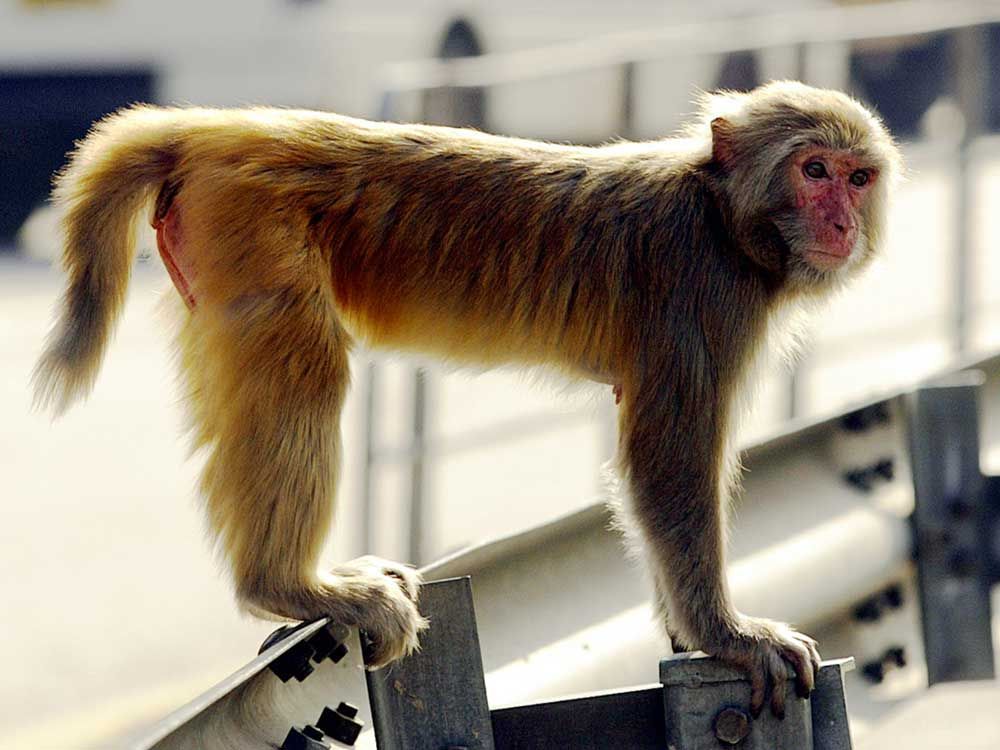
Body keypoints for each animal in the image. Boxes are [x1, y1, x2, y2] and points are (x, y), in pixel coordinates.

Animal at [33, 81, 899, 718]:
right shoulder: (702, 291)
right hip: (255, 226)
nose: (842, 221)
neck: (724, 217)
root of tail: (219, 129)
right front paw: (726, 635)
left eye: (858, 178)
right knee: (303, 365)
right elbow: (667, 464)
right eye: (814, 171)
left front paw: (684, 634)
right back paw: (287, 585)